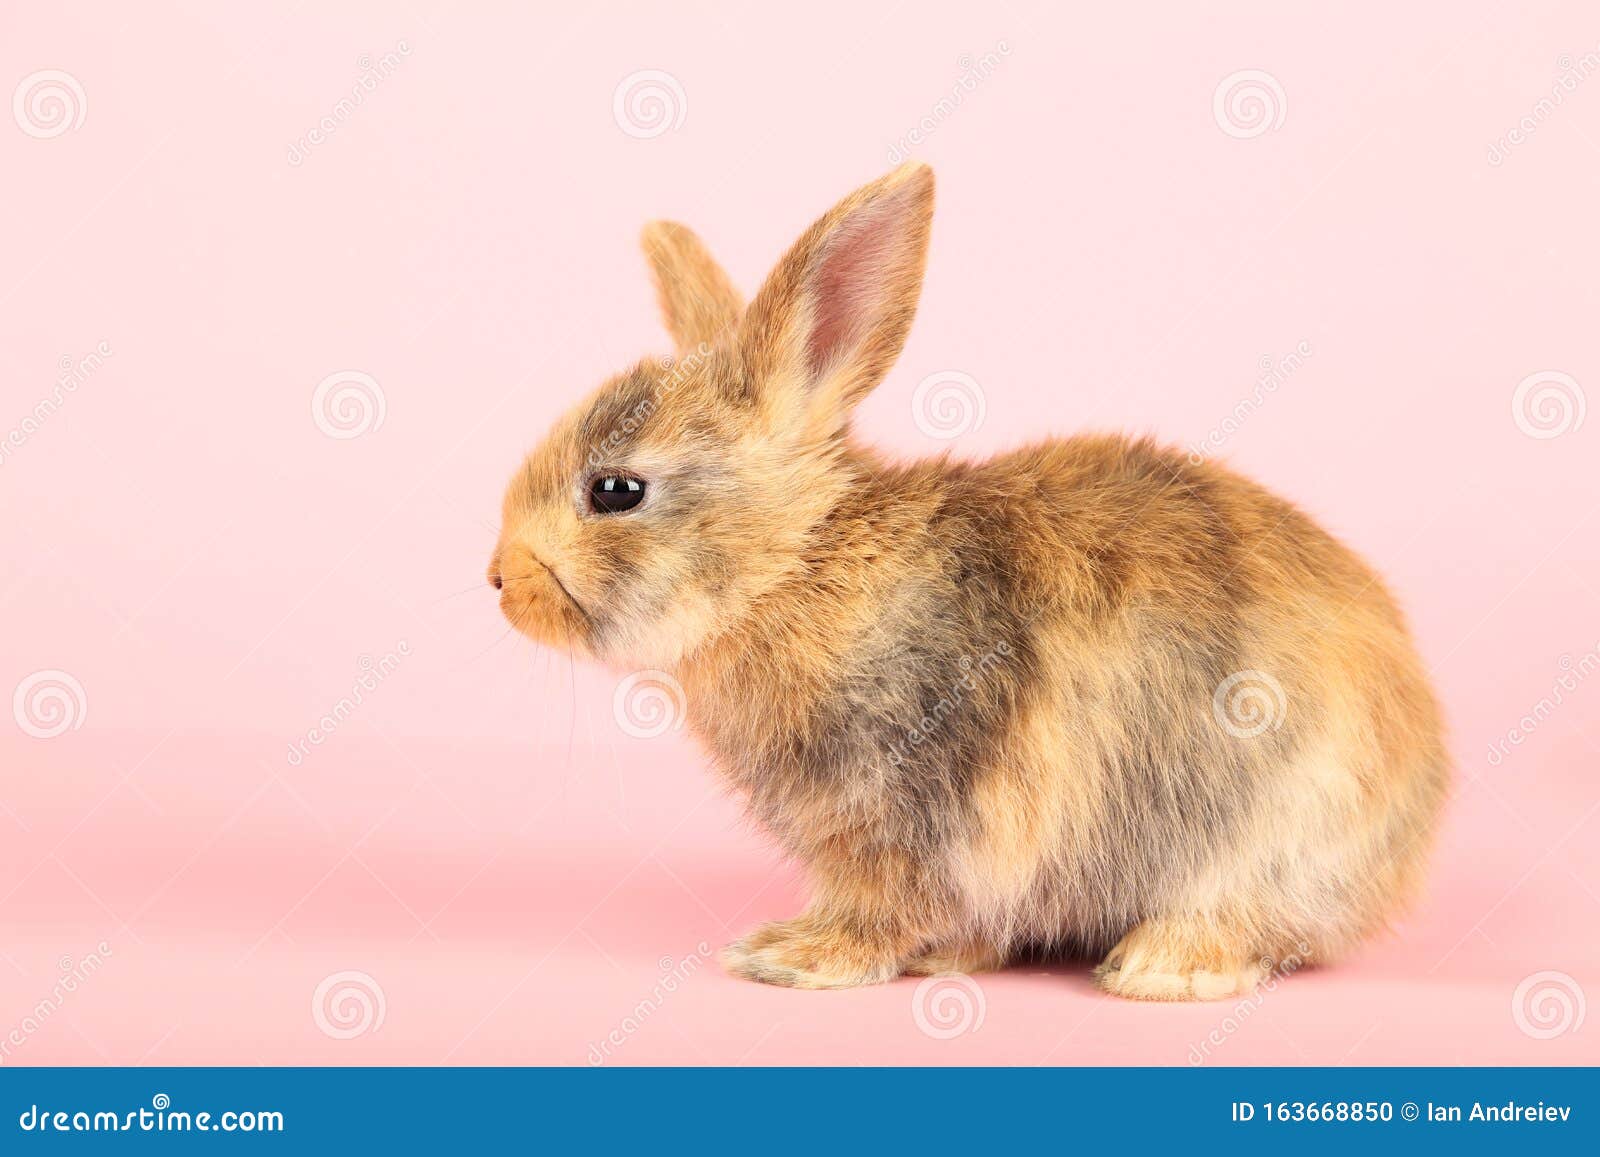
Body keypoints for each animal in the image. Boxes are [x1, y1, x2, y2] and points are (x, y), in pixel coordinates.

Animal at [490, 163, 1449, 1001]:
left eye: (616, 490)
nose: (498, 577)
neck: (794, 567)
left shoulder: (918, 815)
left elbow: (886, 906)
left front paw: (791, 956)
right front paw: (937, 956)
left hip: (1273, 832)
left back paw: (1164, 966)